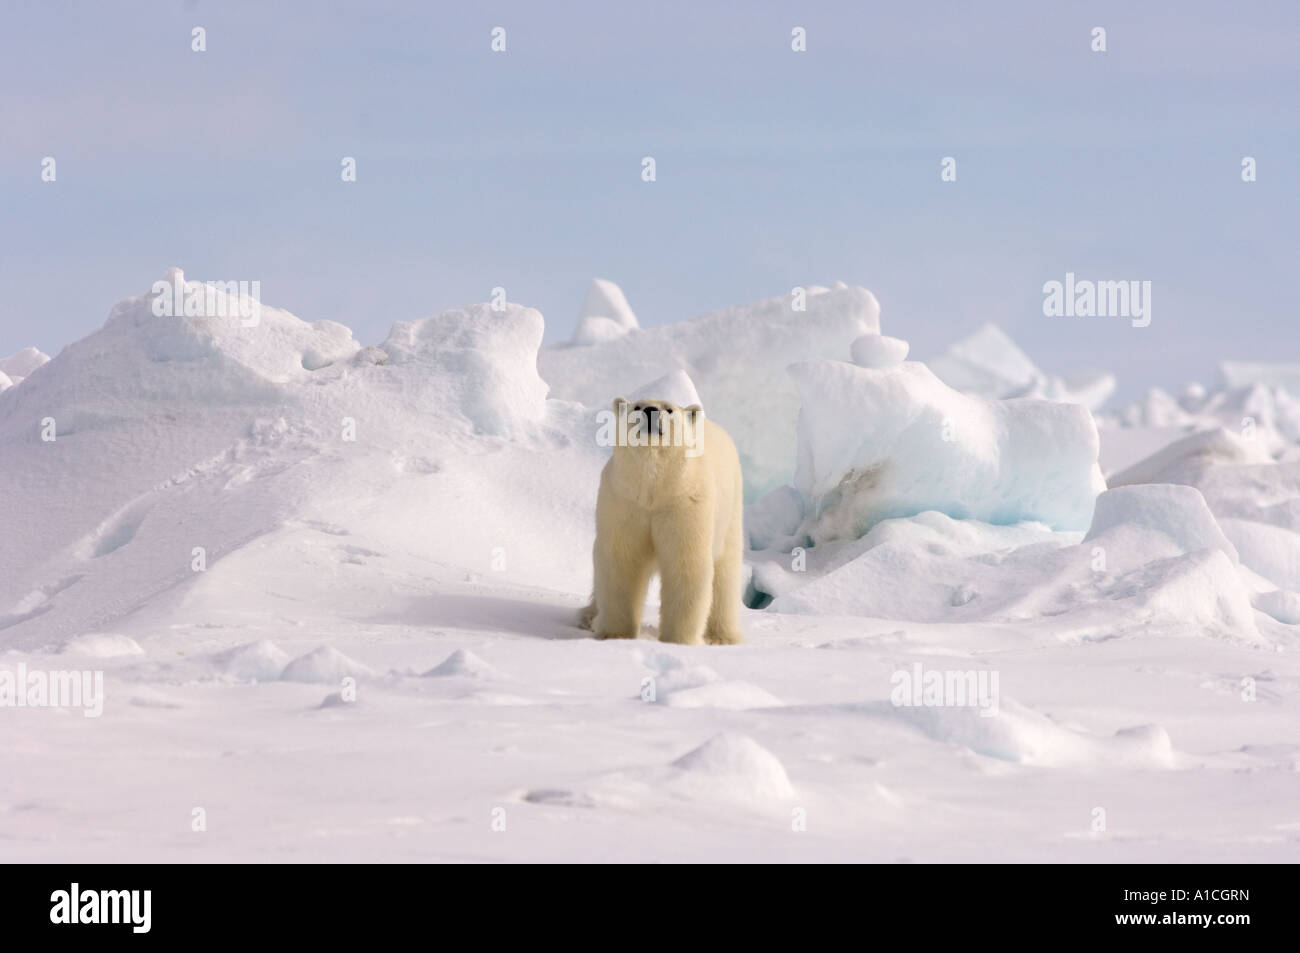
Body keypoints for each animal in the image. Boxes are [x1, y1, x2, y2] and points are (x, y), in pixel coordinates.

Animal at [579, 395, 744, 645]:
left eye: (669, 409)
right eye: (637, 406)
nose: (650, 411)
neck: (654, 489)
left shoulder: (684, 503)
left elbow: (685, 561)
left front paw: (679, 640)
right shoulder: (624, 500)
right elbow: (620, 559)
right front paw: (615, 634)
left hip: (731, 511)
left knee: (726, 573)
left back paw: (722, 636)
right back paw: (589, 616)